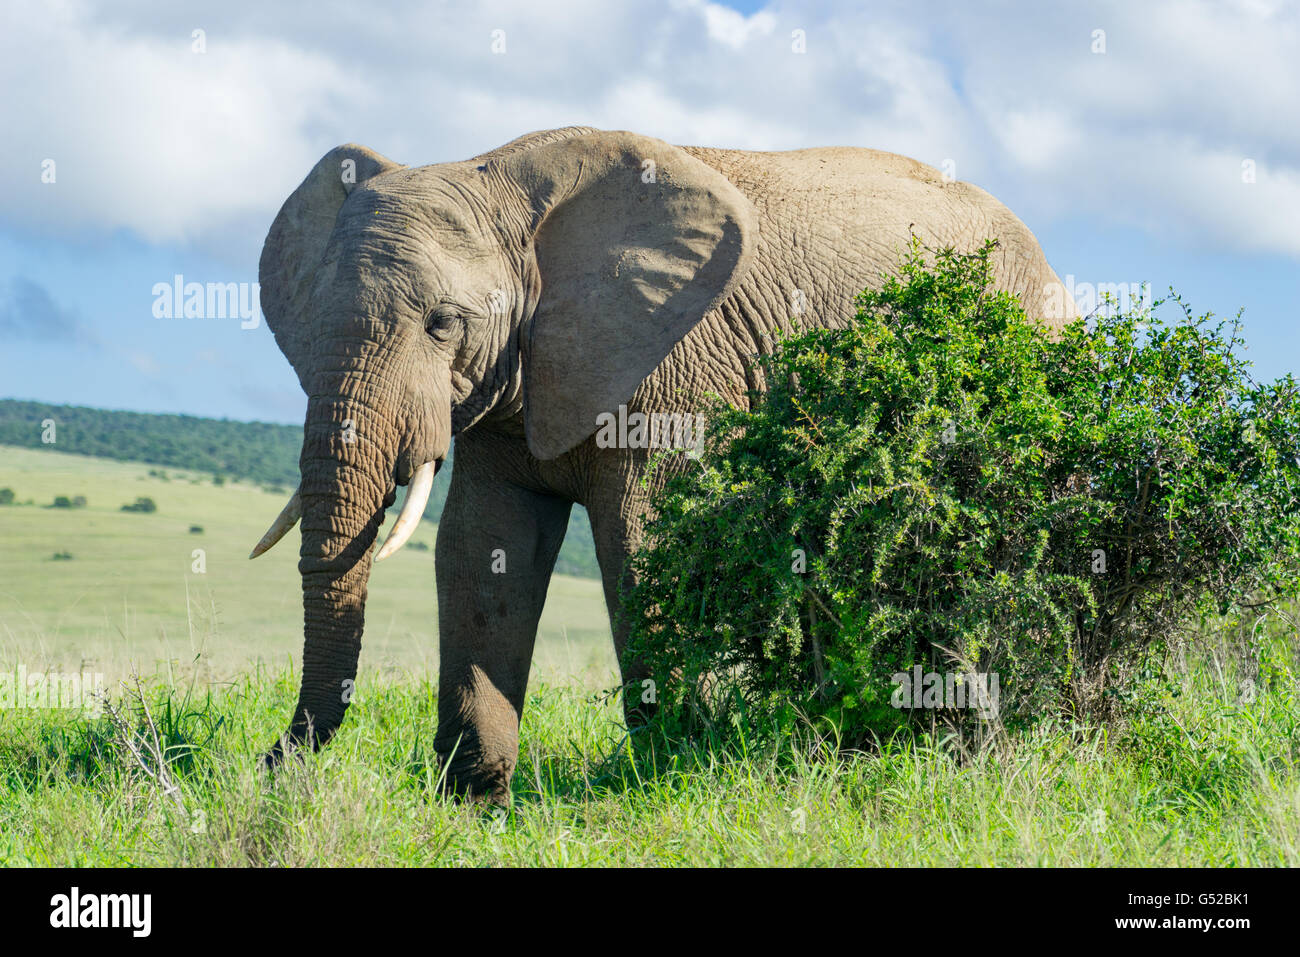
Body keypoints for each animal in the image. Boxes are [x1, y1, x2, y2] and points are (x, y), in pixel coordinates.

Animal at [252, 126, 1074, 802]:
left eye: (443, 324)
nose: (273, 762)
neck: (501, 181)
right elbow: (481, 548)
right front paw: (476, 802)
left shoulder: (674, 367)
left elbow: (641, 542)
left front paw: (663, 776)